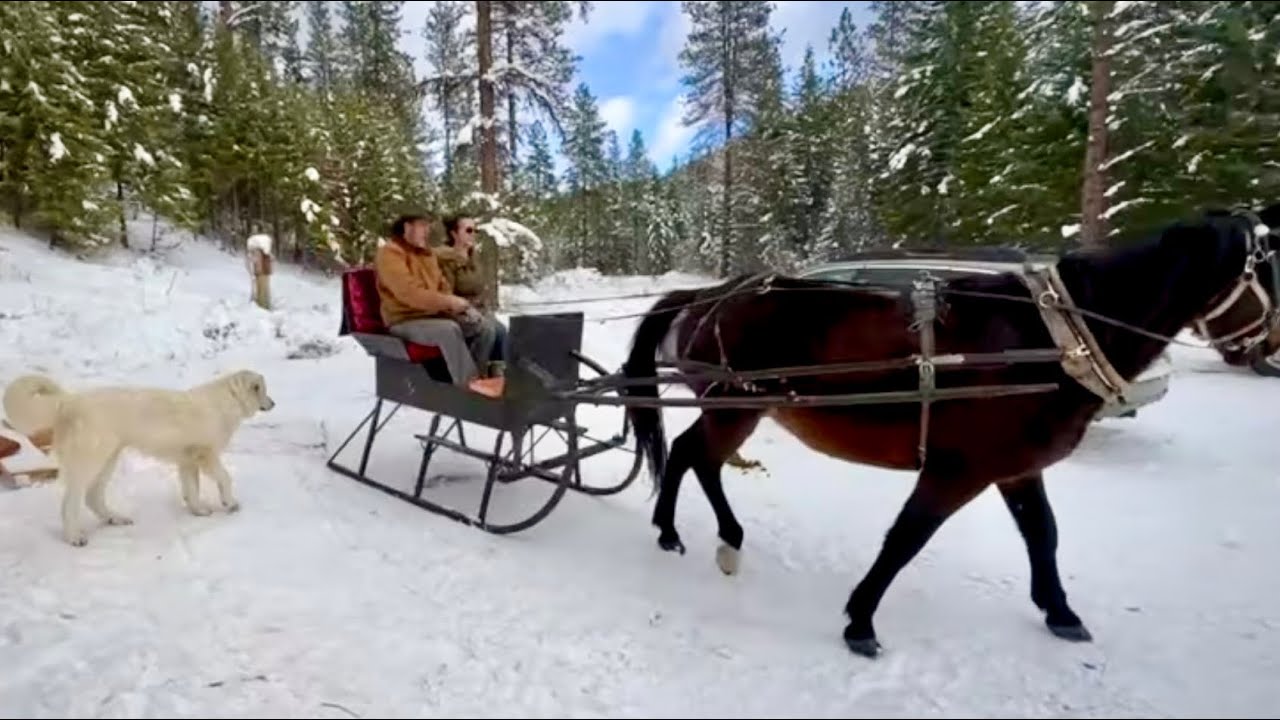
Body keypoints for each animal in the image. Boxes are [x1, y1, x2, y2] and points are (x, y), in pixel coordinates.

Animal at [619, 204, 1280, 658]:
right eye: (1270, 267)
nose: (1270, 343)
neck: (1051, 338)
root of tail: (709, 294)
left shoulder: (1016, 467)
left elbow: (1043, 534)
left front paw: (1060, 612)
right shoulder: (959, 469)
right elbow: (906, 539)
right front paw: (861, 620)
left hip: (739, 409)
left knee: (693, 456)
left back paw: (695, 533)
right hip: (734, 407)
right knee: (694, 454)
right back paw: (682, 532)